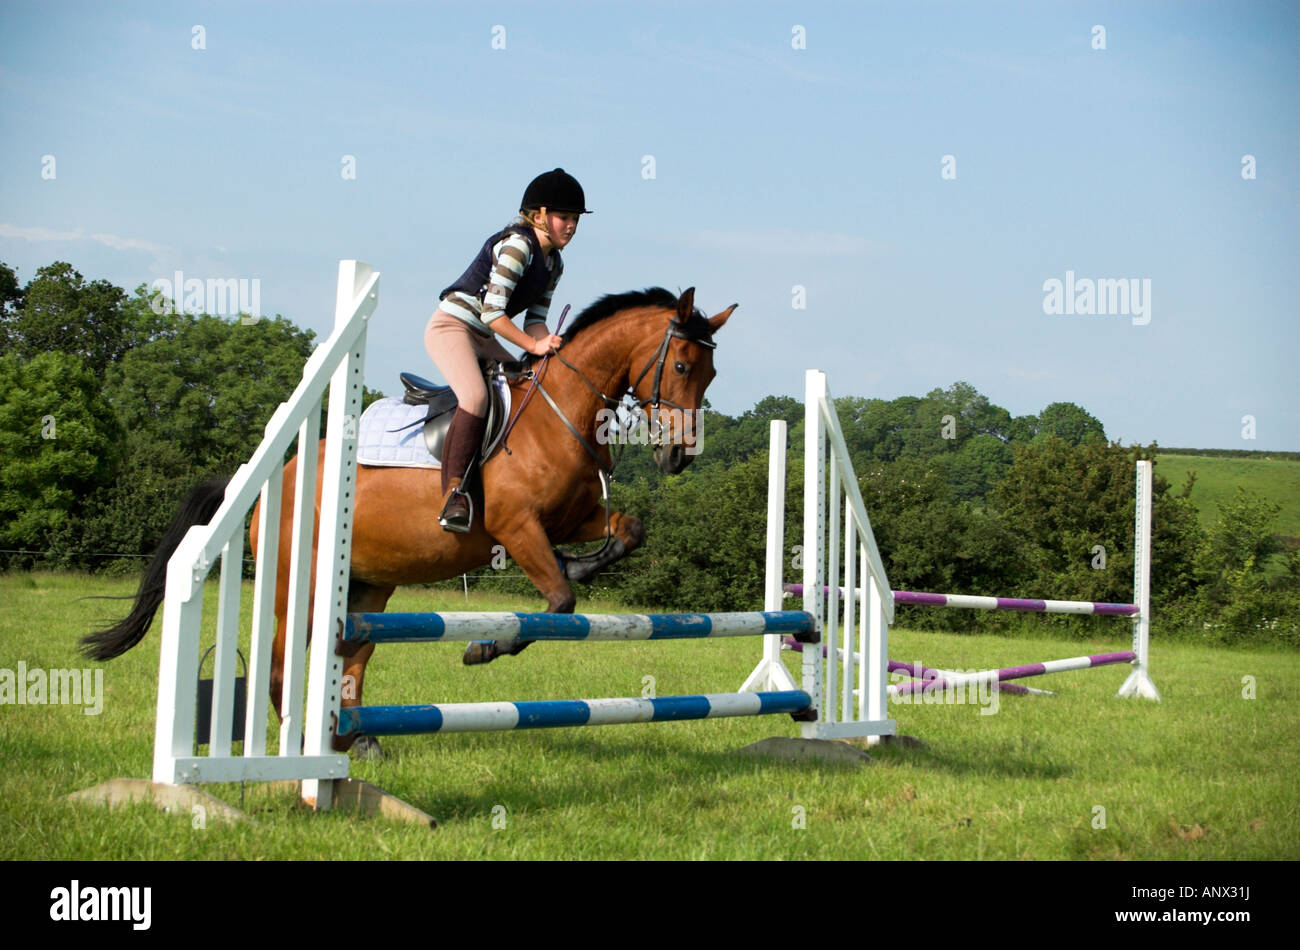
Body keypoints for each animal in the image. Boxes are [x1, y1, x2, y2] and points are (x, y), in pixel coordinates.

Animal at [82, 287, 736, 757]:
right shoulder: (515, 527)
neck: (562, 412)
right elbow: (558, 602)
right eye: (681, 366)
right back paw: (309, 745)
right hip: (300, 585)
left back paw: (356, 738)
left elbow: (626, 532)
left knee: (351, 655)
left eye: (711, 375)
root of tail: (274, 480)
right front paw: (482, 647)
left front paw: (578, 564)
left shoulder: (576, 517)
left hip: (368, 585)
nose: (678, 457)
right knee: (281, 664)